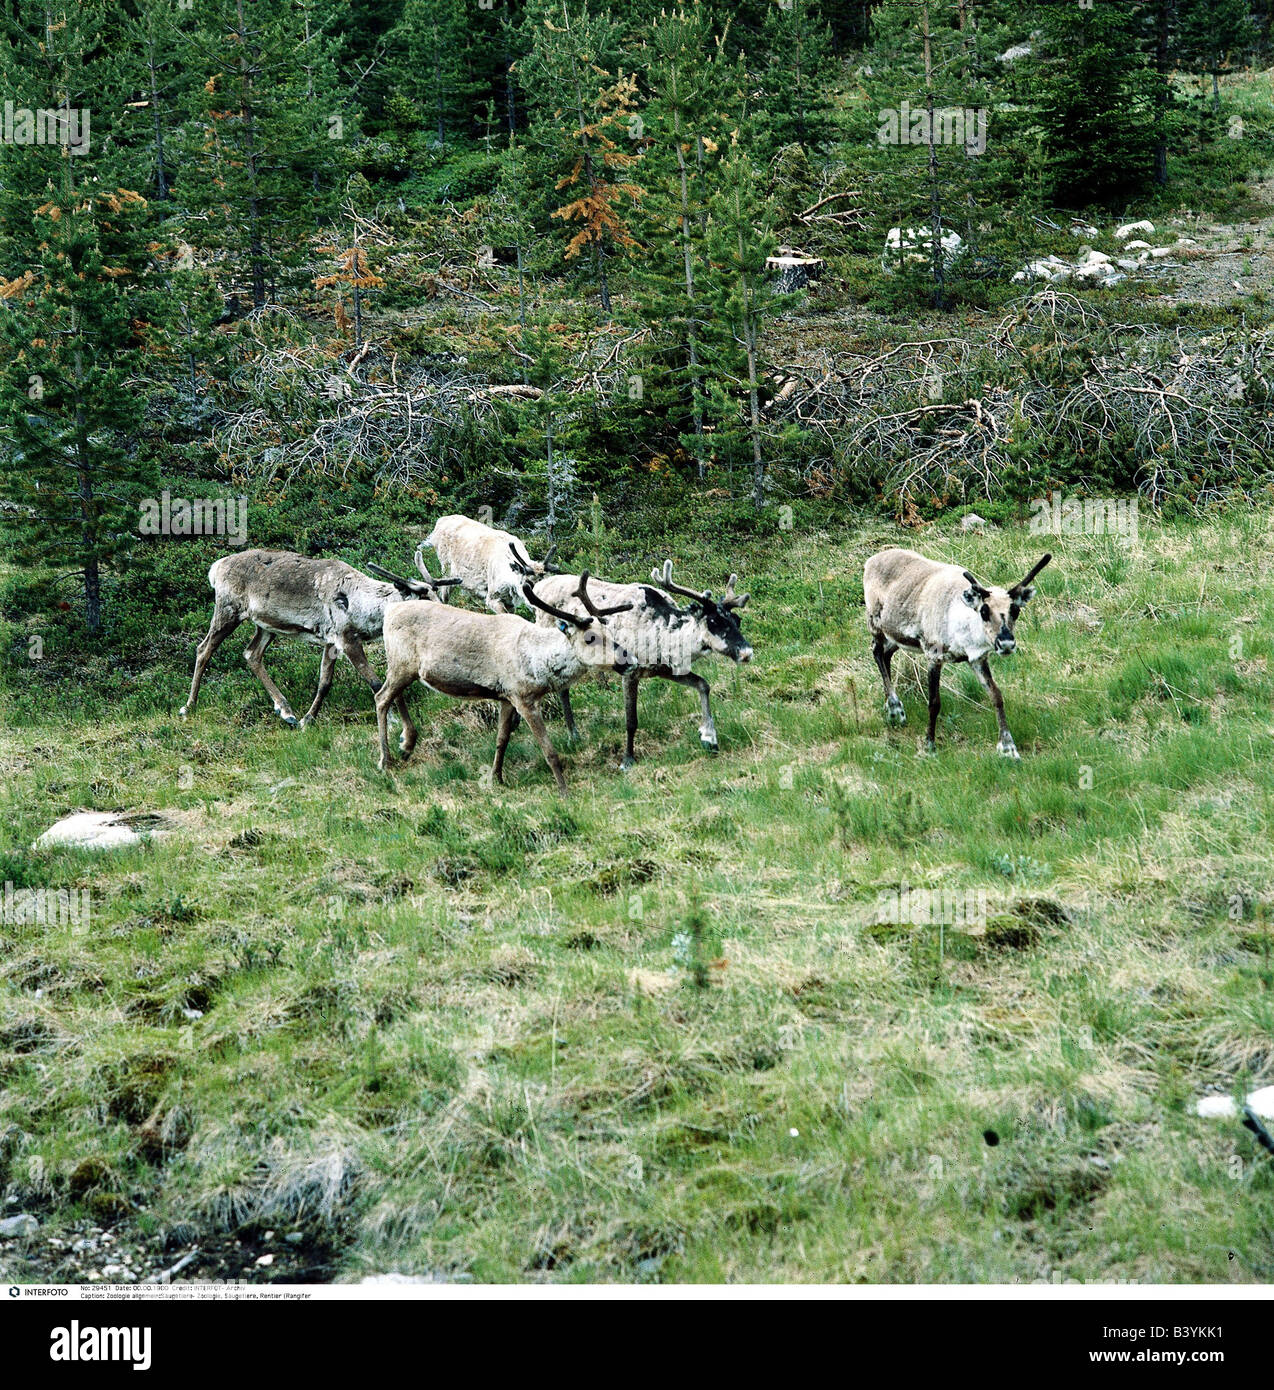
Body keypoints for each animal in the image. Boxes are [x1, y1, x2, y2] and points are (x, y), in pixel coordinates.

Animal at [179, 550, 461, 727]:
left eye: (438, 596)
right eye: (423, 600)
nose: (447, 620)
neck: (365, 608)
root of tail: (216, 567)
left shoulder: (331, 641)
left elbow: (324, 682)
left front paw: (307, 719)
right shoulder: (347, 639)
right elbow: (374, 681)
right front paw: (391, 719)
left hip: (267, 625)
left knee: (251, 654)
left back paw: (286, 711)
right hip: (228, 609)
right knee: (204, 649)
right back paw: (189, 705)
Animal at [374, 572, 634, 792]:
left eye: (610, 633)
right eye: (590, 638)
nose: (629, 659)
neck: (537, 661)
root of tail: (390, 611)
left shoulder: (506, 696)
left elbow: (502, 739)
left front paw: (495, 777)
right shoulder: (523, 697)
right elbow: (549, 751)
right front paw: (564, 791)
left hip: (403, 667)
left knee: (393, 695)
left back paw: (406, 744)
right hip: (402, 663)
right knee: (381, 697)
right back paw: (385, 760)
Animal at [420, 514, 557, 614]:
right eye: (527, 583)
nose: (539, 606)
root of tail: (439, 523)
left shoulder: (510, 602)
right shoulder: (492, 597)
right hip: (446, 569)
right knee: (443, 595)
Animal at [528, 560, 752, 767]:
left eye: (737, 619)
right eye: (713, 621)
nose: (747, 652)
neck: (662, 634)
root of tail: (540, 585)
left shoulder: (666, 670)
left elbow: (703, 685)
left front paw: (709, 738)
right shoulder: (630, 672)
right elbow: (631, 721)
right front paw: (627, 760)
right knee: (563, 689)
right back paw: (573, 734)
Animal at [863, 548, 1052, 758]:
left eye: (1016, 610)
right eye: (984, 611)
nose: (1006, 644)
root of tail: (871, 560)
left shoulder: (977, 659)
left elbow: (996, 696)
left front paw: (1008, 748)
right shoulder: (934, 655)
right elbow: (934, 703)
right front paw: (929, 745)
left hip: (897, 636)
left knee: (886, 654)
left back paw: (891, 707)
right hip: (876, 623)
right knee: (876, 651)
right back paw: (895, 710)